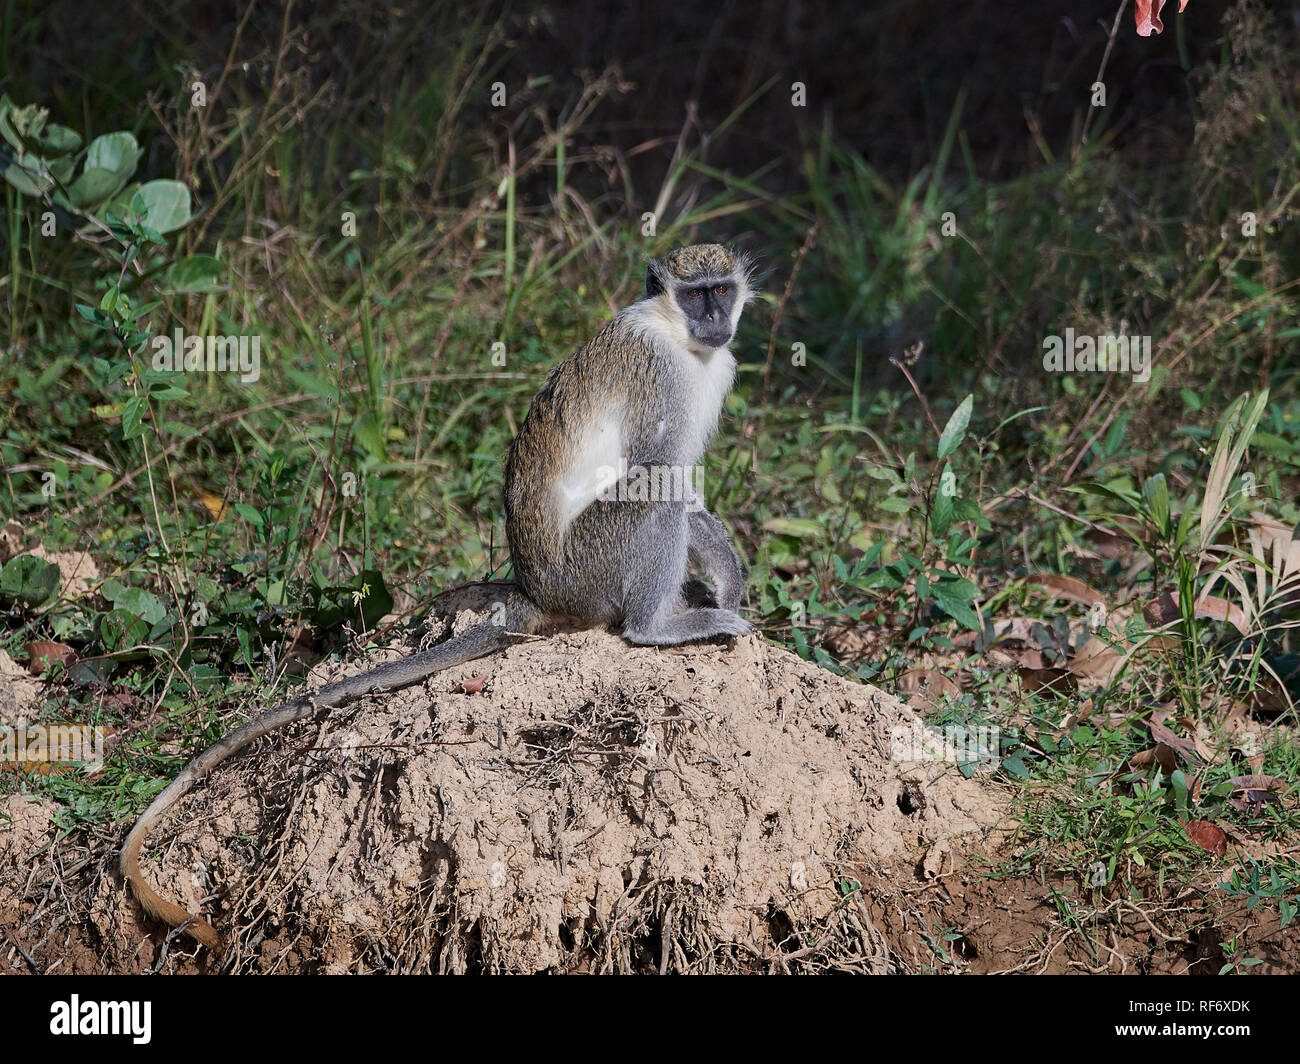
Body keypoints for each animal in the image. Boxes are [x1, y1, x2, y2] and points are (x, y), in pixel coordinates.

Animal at [121, 243, 756, 950]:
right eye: (696, 293)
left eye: (722, 290)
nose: (716, 318)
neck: (679, 338)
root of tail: (537, 590)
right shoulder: (656, 376)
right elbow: (661, 470)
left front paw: (724, 569)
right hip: (592, 566)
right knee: (652, 495)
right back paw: (656, 626)